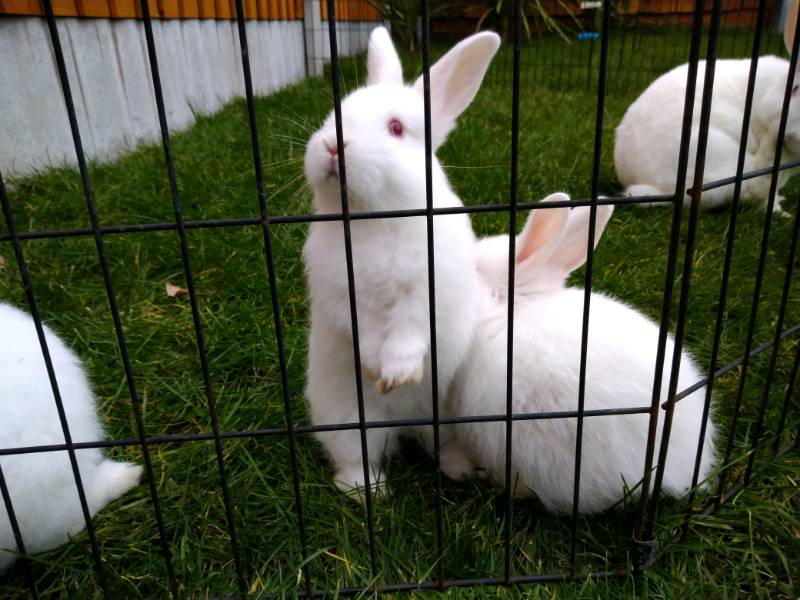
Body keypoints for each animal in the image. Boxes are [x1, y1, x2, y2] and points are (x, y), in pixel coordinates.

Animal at [302, 27, 500, 497]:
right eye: (334, 114)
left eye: (395, 128)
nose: (333, 144)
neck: (374, 216)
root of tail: (405, 424)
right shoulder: (342, 293)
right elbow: (368, 331)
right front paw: (380, 372)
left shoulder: (431, 288)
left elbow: (409, 330)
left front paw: (398, 374)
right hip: (347, 420)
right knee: (358, 457)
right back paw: (367, 492)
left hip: (447, 416)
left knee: (438, 445)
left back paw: (462, 469)